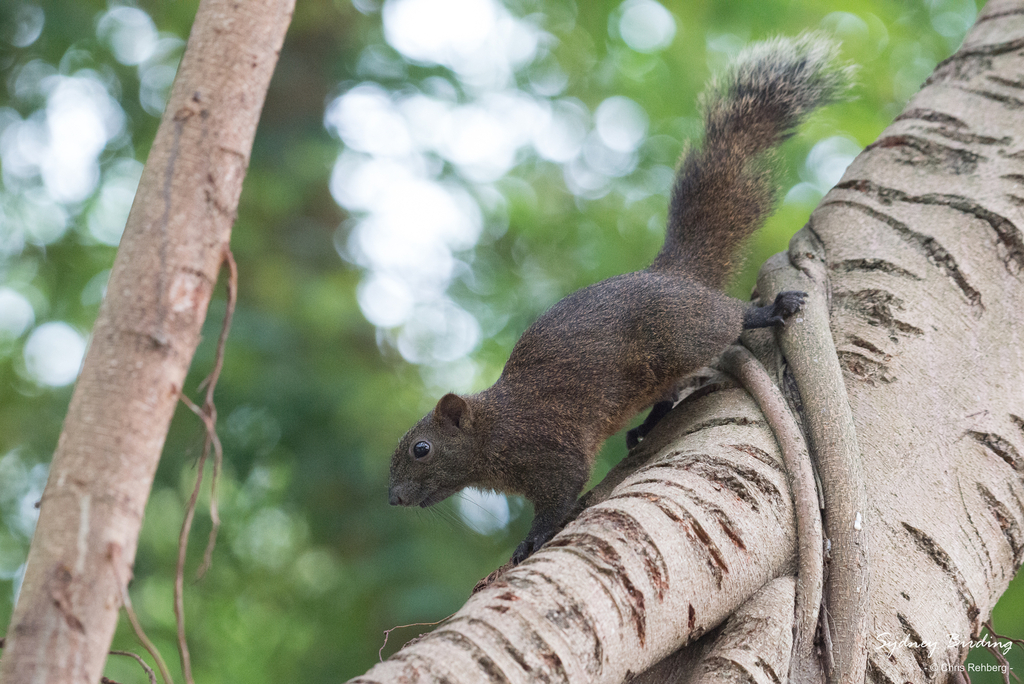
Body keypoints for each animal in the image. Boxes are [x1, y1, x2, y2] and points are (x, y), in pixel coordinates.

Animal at [388, 34, 852, 565]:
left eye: (422, 449)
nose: (393, 498)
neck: (494, 428)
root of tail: (672, 274)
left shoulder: (550, 449)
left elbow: (559, 496)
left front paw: (531, 539)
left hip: (687, 331)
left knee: (730, 317)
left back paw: (772, 309)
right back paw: (648, 425)